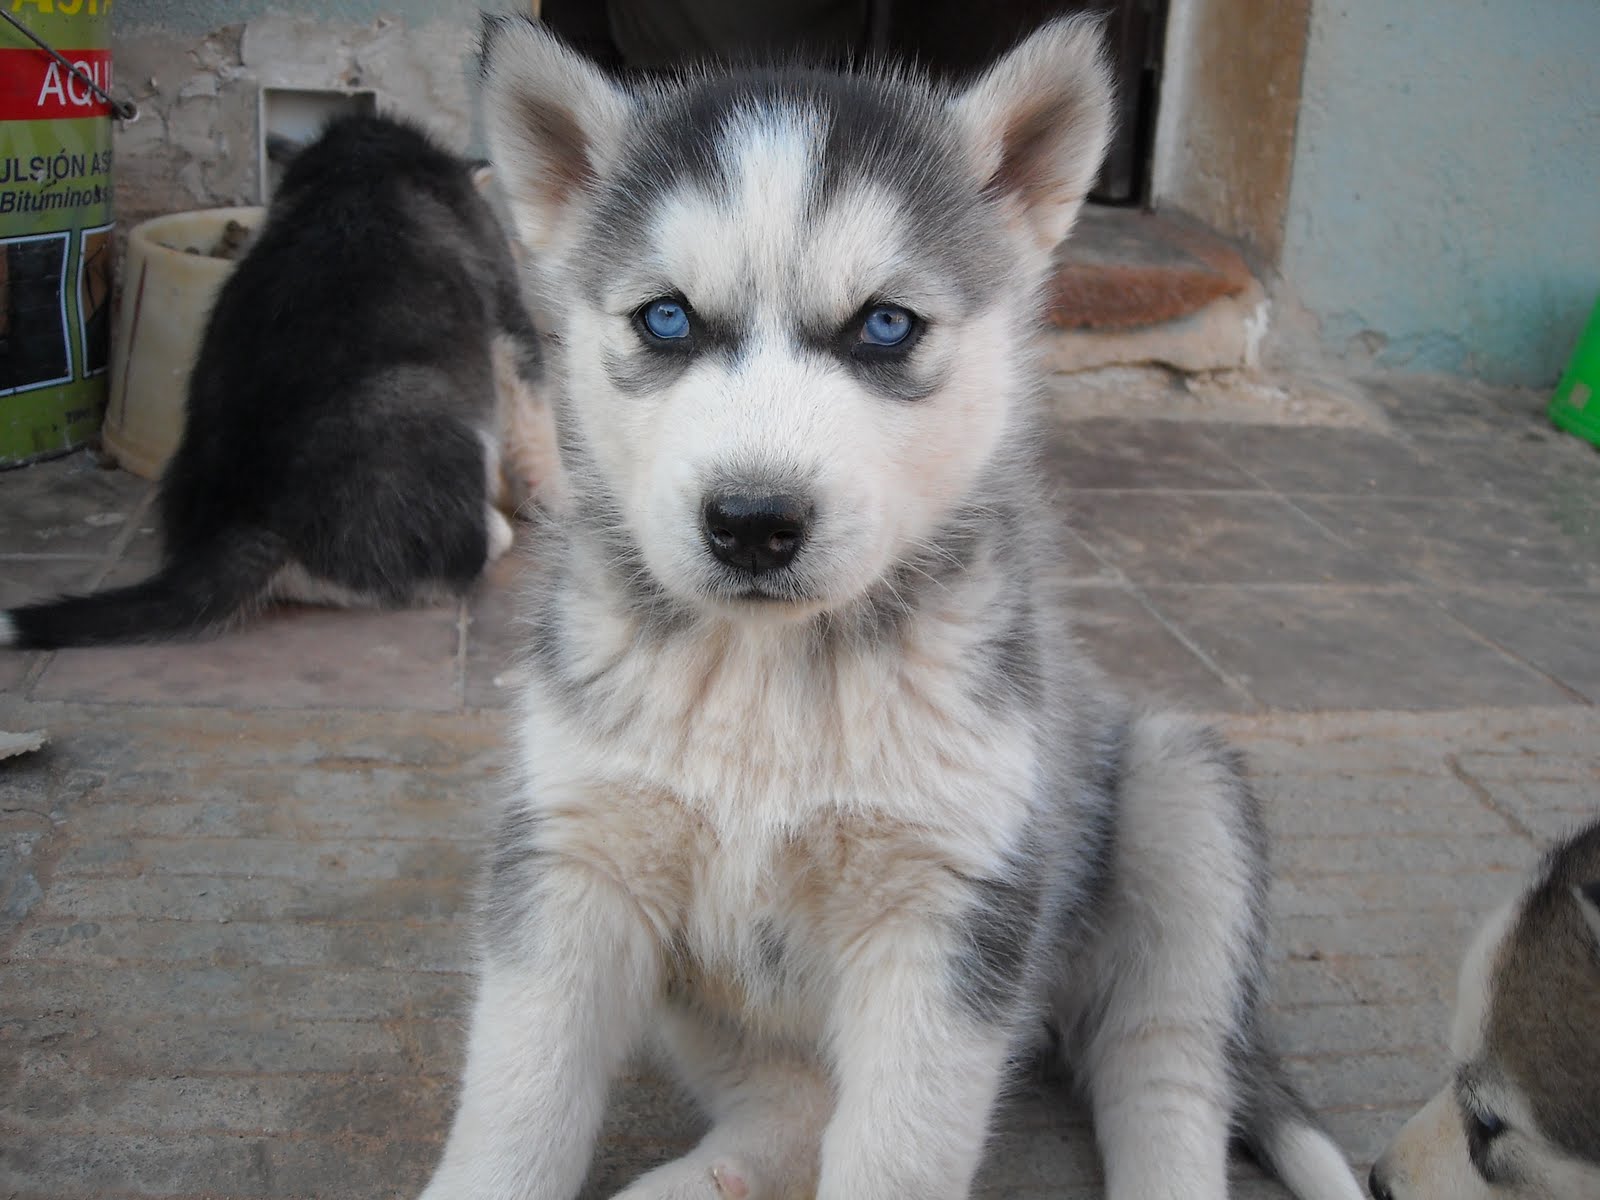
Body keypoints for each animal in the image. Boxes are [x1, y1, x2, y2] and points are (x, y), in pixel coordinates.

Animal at [0, 113, 543, 650]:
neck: (360, 166)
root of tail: (252, 523)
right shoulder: (509, 320)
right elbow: (538, 429)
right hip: (423, 412)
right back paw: (494, 531)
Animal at [419, 16, 1367, 1200]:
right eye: (667, 318)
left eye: (883, 325)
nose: (753, 521)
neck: (768, 678)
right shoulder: (574, 860)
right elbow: (515, 1109)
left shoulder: (949, 916)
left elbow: (897, 1150)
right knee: (792, 1102)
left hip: (1178, 797)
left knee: (1166, 1066)